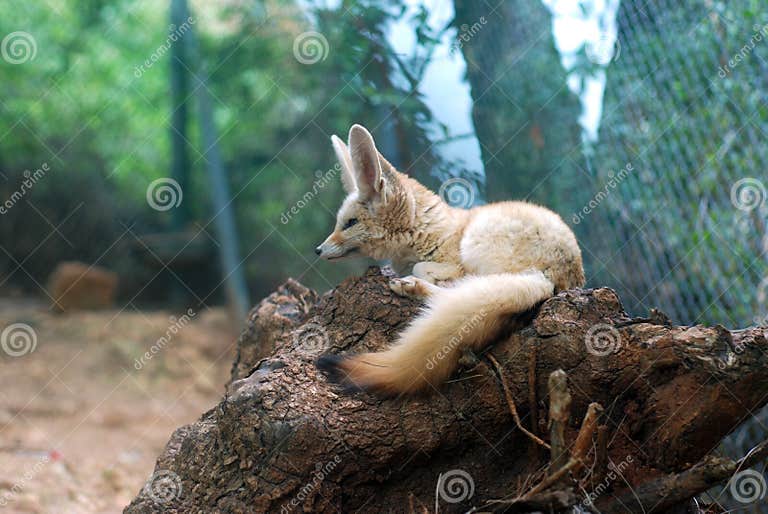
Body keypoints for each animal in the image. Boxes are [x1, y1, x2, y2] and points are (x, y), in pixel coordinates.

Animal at [315, 124, 585, 396]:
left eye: (350, 223)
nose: (317, 250)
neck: (426, 230)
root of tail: (555, 276)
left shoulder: (453, 261)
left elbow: (426, 267)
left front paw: (422, 279)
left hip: (476, 244)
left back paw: (413, 287)